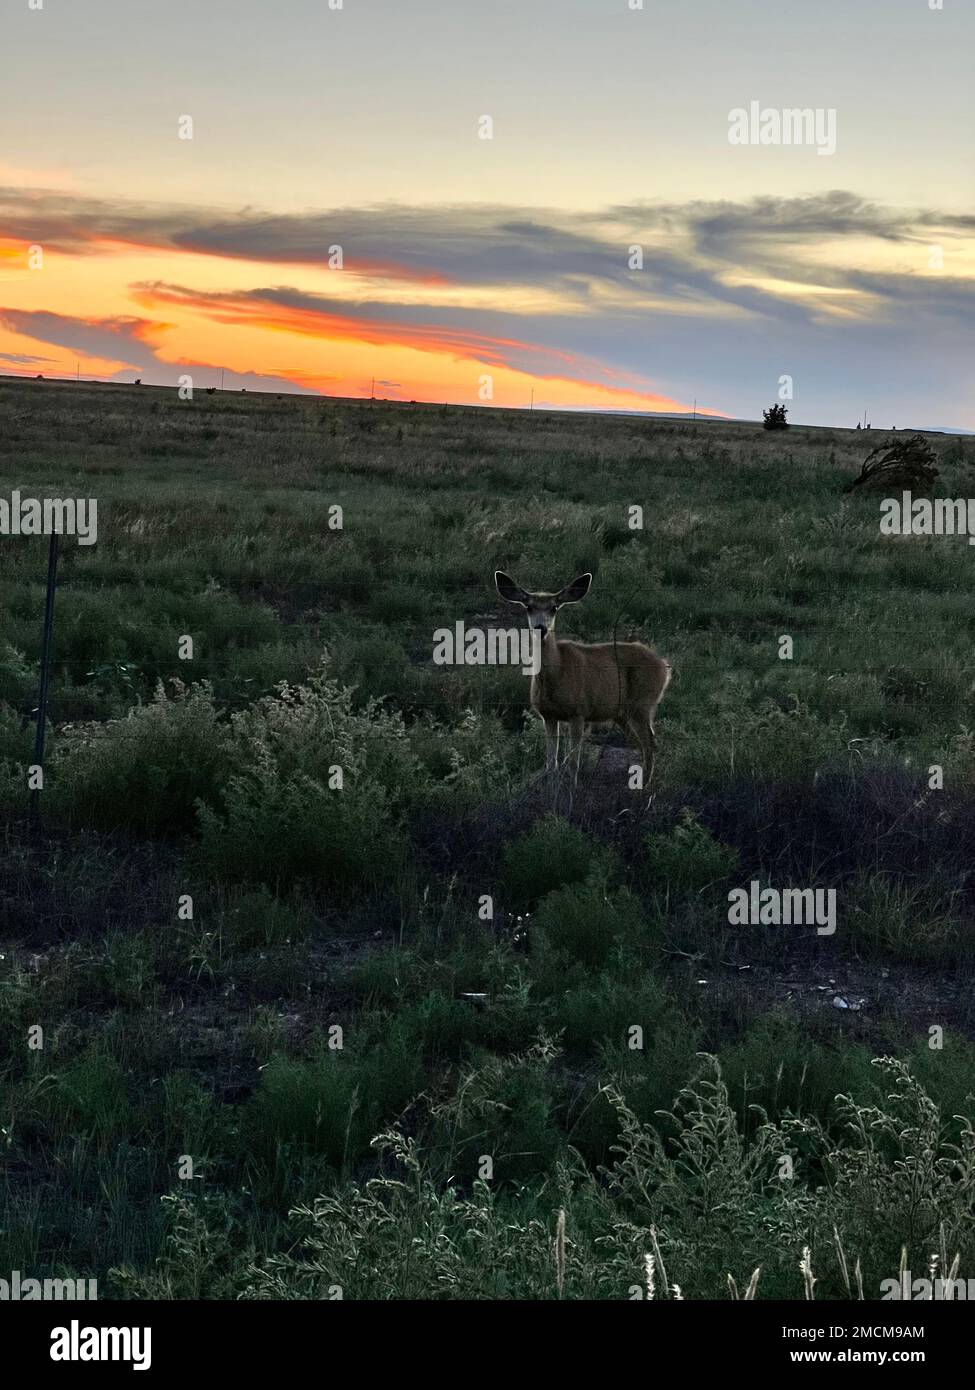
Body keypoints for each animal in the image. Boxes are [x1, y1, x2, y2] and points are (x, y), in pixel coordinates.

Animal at [494, 571, 670, 786]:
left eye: (554, 607)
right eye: (528, 606)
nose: (540, 627)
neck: (556, 674)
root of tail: (663, 665)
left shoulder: (578, 712)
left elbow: (572, 763)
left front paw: (572, 788)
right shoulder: (548, 716)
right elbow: (551, 763)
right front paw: (552, 788)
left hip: (643, 703)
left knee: (650, 741)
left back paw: (645, 785)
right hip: (622, 712)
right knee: (640, 742)